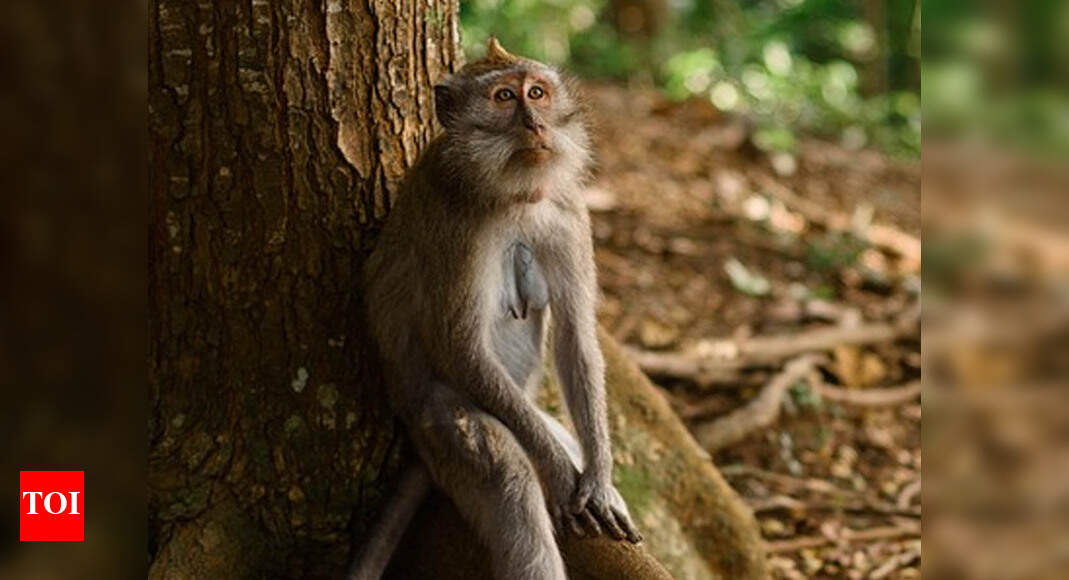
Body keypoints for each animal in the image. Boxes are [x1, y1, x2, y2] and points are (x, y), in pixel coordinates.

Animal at [349, 37, 641, 580]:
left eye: (537, 92)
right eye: (504, 97)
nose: (536, 125)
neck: (516, 192)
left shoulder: (569, 210)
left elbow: (575, 336)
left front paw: (599, 478)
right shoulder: (455, 225)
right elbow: (458, 346)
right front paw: (557, 471)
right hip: (439, 424)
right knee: (510, 485)